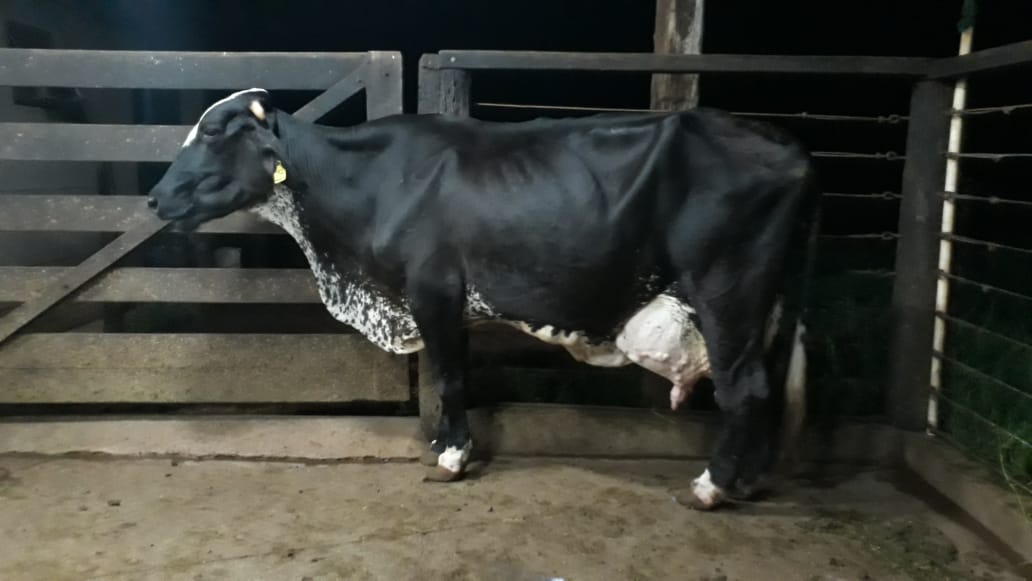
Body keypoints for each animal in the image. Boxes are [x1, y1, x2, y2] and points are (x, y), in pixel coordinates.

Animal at [147, 88, 820, 510]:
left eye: (213, 132)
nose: (154, 198)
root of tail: (785, 146)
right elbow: (451, 375)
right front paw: (447, 446)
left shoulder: (434, 291)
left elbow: (449, 377)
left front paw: (452, 457)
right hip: (766, 301)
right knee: (767, 386)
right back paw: (748, 480)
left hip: (728, 288)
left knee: (744, 389)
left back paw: (712, 488)